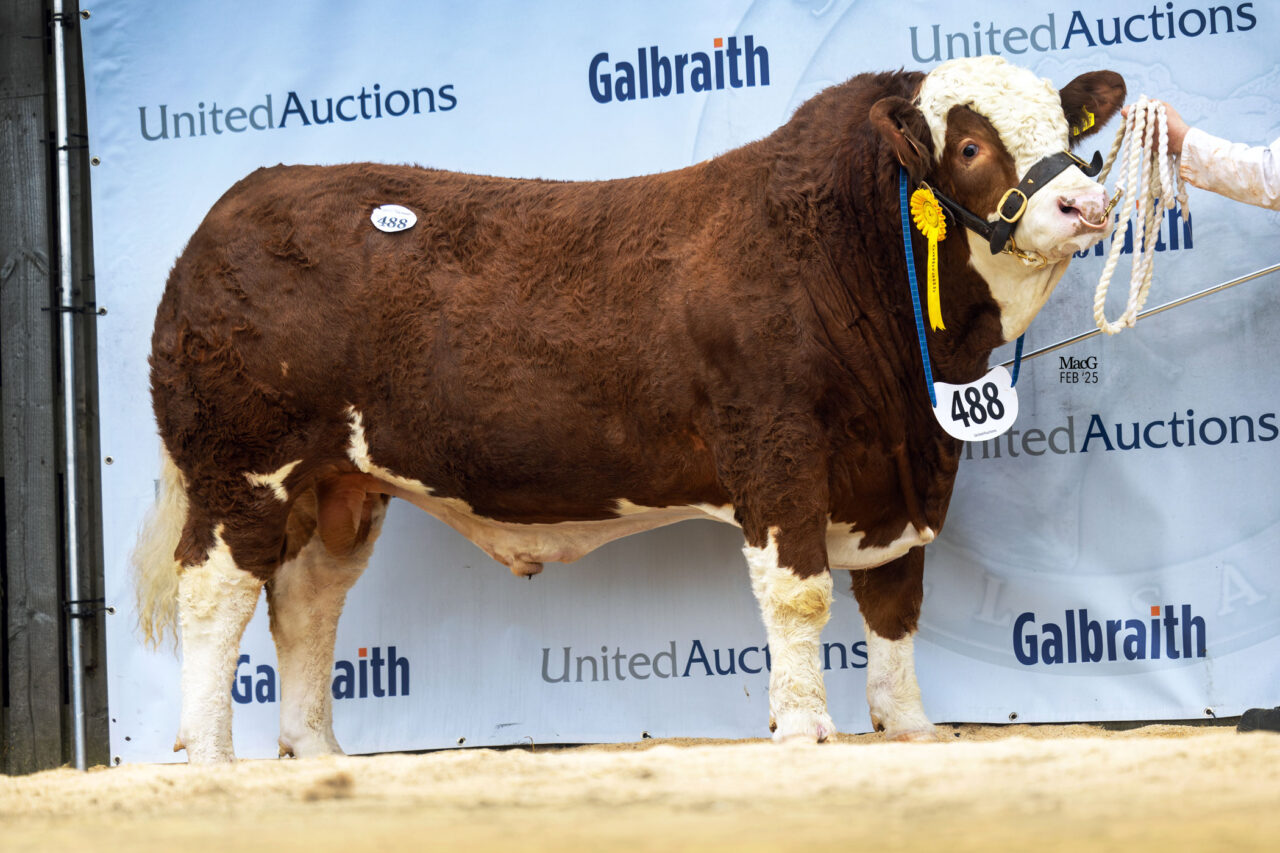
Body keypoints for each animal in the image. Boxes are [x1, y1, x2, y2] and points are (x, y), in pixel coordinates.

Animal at [133, 56, 1125, 763]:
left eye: (1063, 124)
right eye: (970, 146)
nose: (1086, 202)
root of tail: (233, 209)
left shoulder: (899, 472)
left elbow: (895, 599)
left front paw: (911, 726)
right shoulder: (775, 443)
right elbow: (800, 593)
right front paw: (805, 728)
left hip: (339, 485)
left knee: (306, 601)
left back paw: (313, 752)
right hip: (240, 466)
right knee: (216, 592)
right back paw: (212, 756)